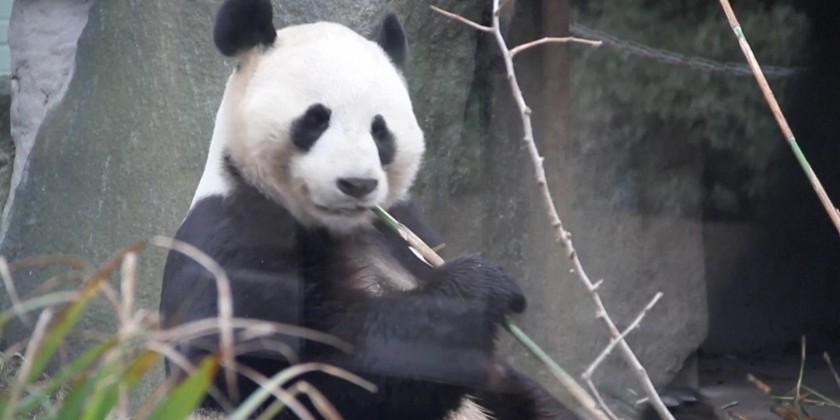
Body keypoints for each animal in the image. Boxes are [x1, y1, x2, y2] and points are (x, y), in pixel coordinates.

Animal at [159, 0, 573, 419]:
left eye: (379, 130)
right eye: (315, 120)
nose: (356, 184)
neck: (336, 226)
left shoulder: (402, 228)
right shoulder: (234, 239)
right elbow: (312, 370)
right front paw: (481, 286)